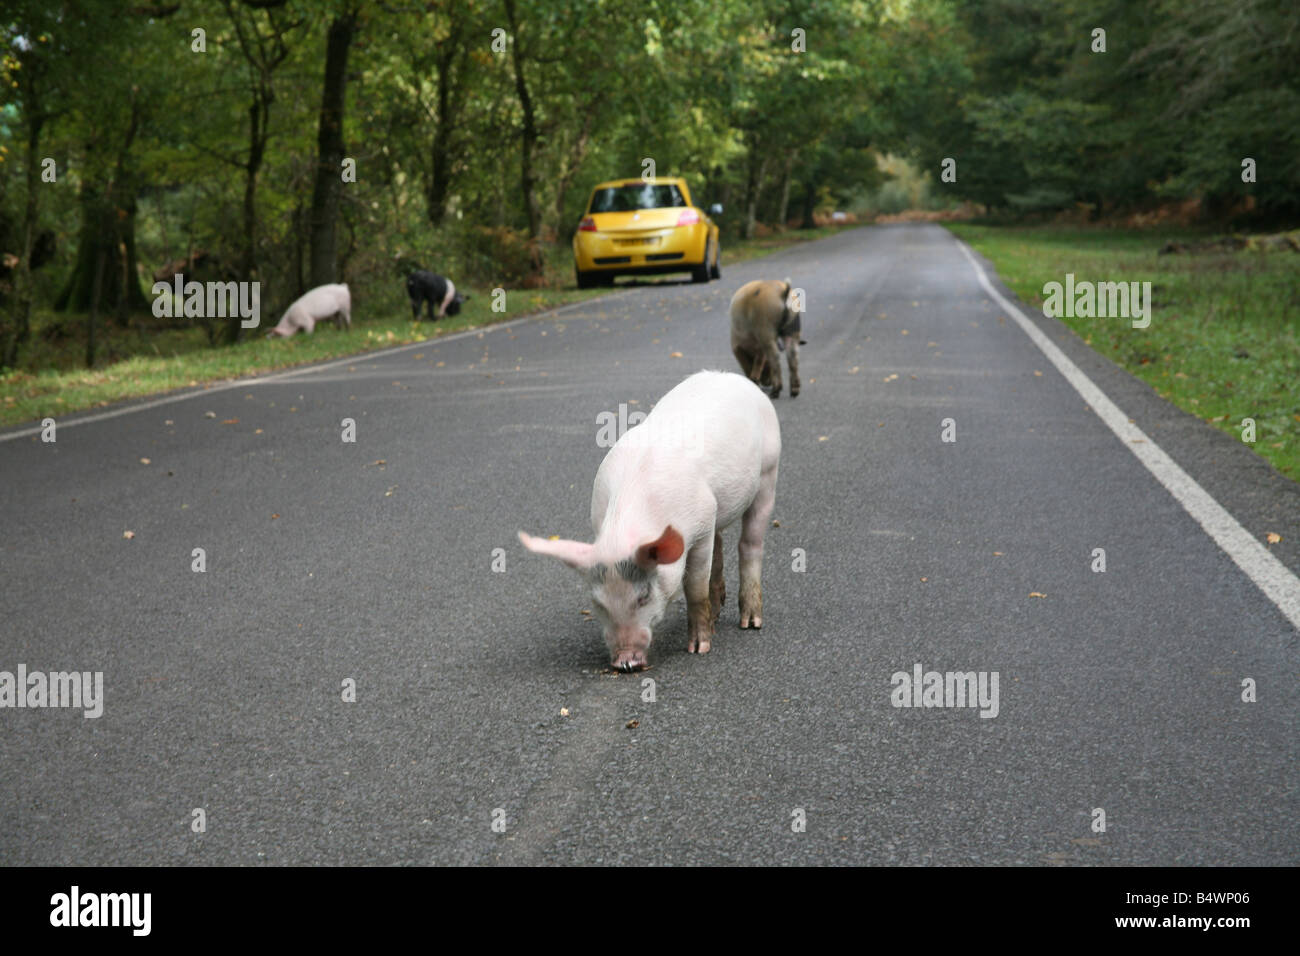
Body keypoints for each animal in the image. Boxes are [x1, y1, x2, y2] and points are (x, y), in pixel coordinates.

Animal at [519, 370, 781, 672]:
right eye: (598, 602)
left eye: (643, 596)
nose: (626, 661)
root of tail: (734, 378)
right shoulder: (706, 516)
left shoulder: (700, 526)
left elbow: (695, 587)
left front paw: (699, 649)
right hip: (719, 506)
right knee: (721, 545)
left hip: (768, 472)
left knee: (749, 543)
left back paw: (750, 623)